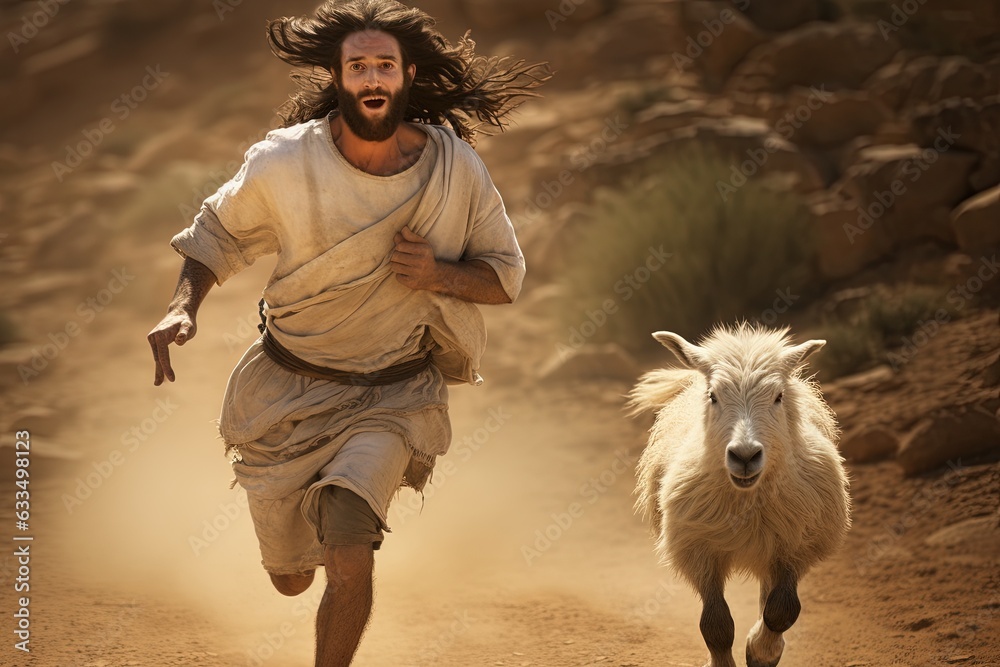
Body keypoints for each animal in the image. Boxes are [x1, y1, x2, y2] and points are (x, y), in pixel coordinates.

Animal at [629, 324, 850, 667]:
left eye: (778, 396)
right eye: (713, 396)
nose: (745, 455)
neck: (747, 500)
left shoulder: (795, 545)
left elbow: (782, 610)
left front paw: (760, 653)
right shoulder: (699, 550)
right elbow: (716, 625)